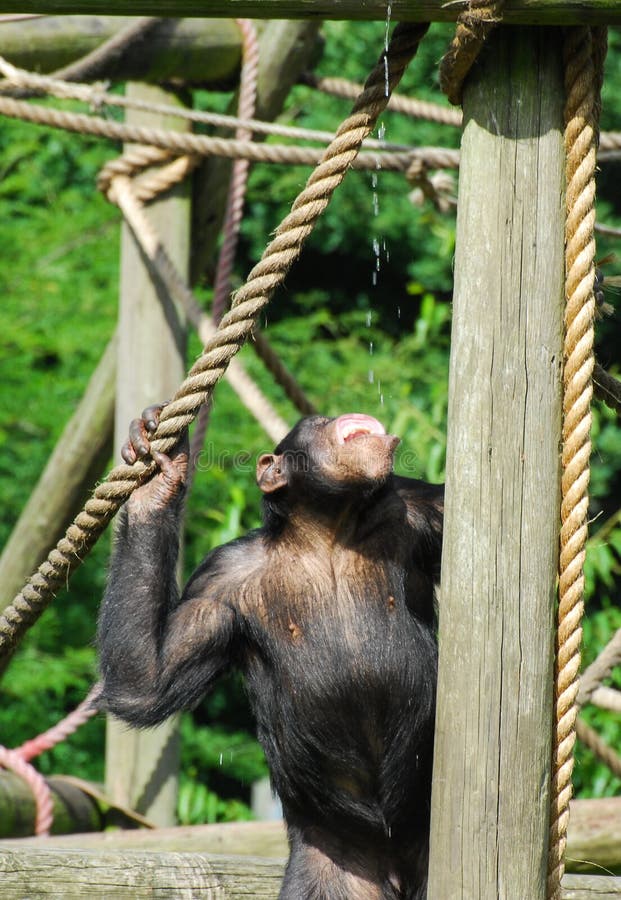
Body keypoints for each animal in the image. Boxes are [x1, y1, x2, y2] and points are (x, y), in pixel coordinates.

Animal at [98, 406, 443, 900]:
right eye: (316, 422)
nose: (329, 413)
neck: (327, 533)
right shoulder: (218, 579)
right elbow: (144, 683)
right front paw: (154, 485)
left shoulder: (419, 509)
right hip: (334, 869)